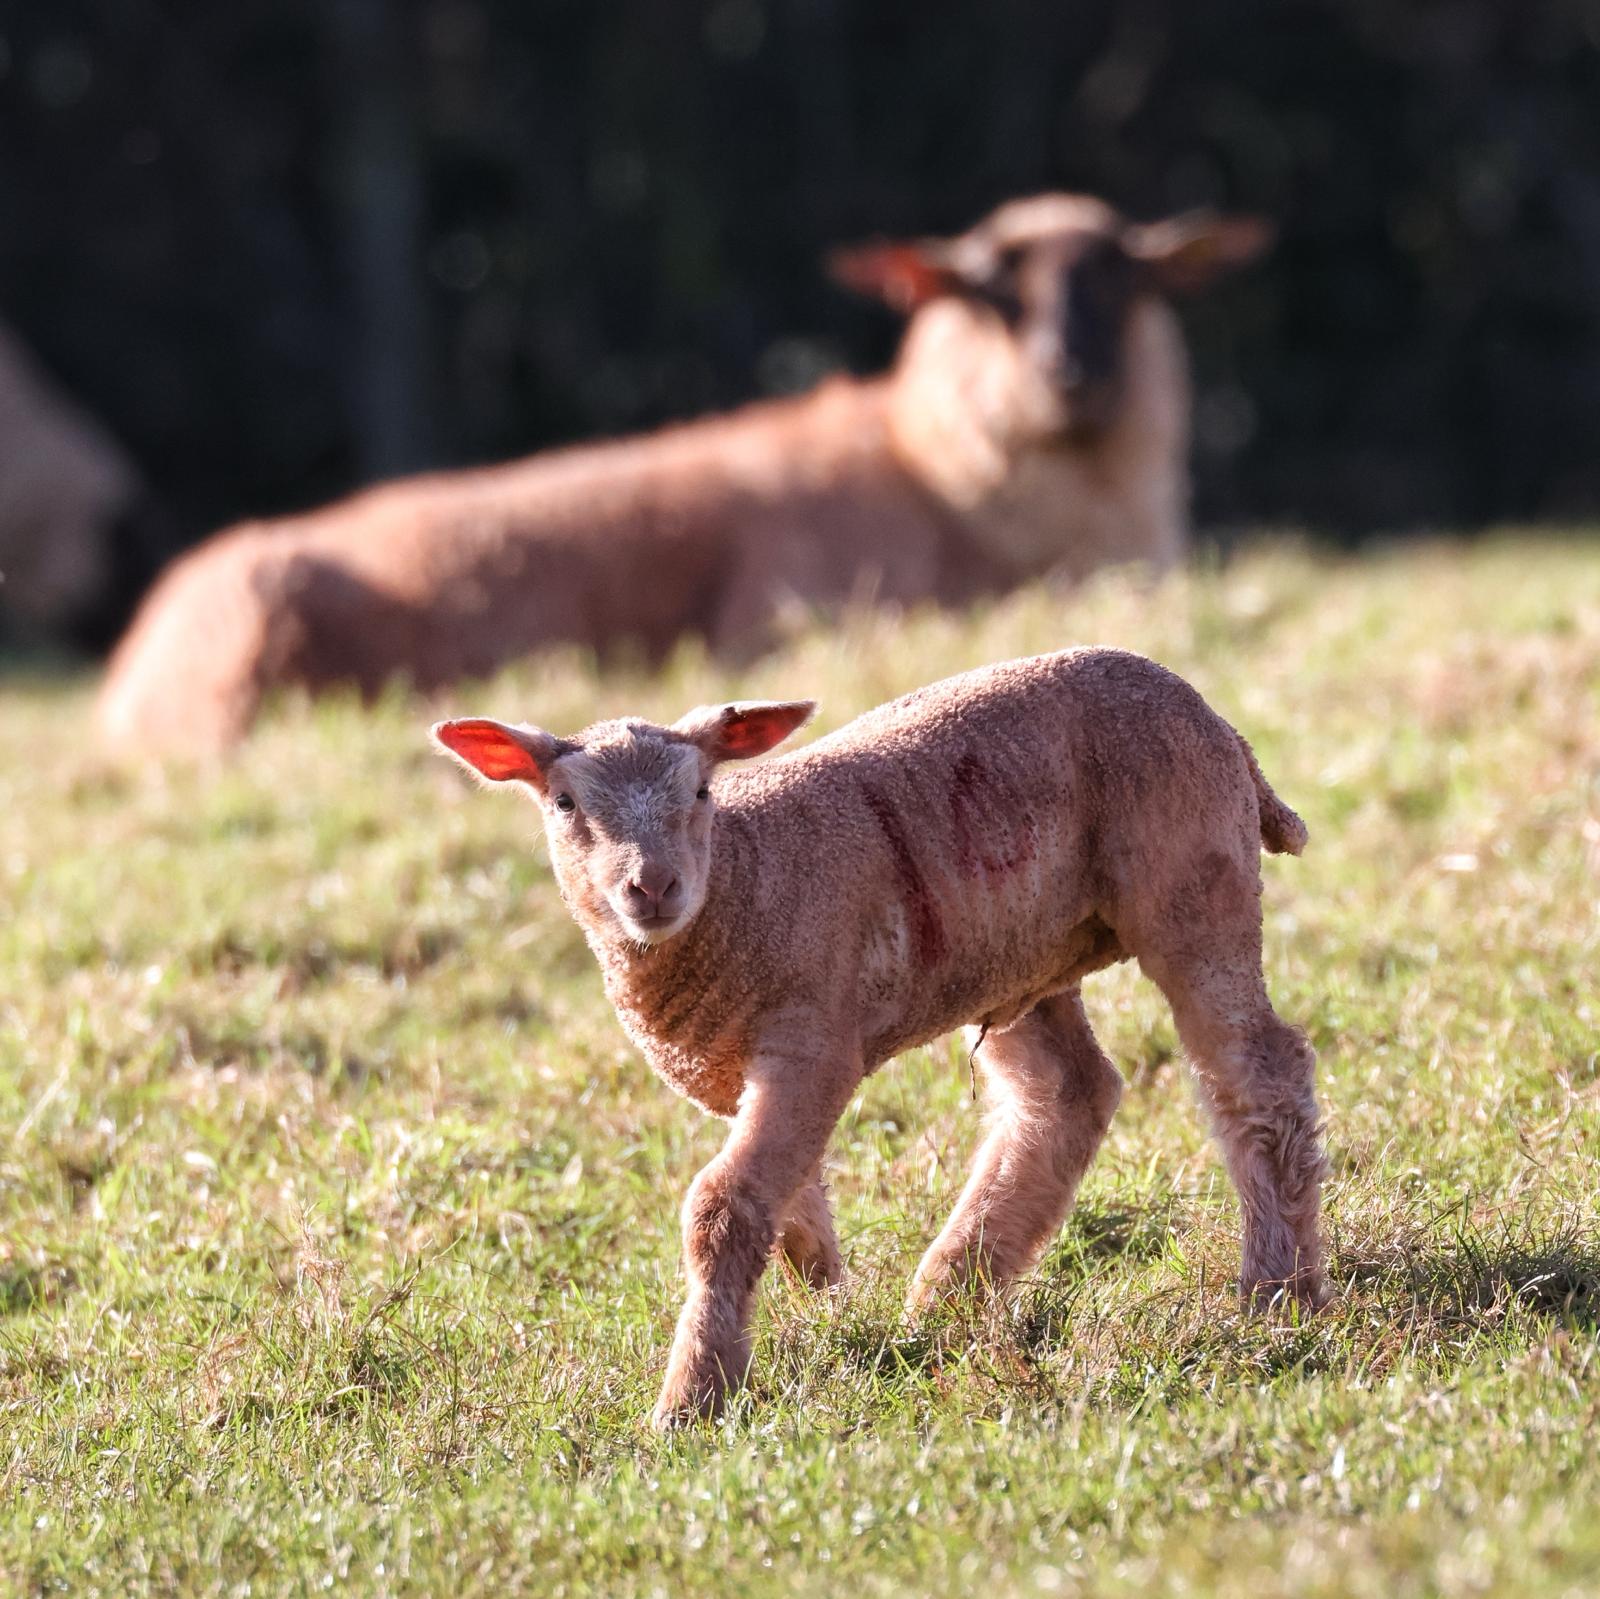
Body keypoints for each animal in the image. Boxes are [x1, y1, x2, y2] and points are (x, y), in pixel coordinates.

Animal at [97, 194, 1270, 755]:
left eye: (1130, 281)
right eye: (987, 295)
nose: (1072, 371)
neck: (930, 476)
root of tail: (124, 679)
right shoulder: (783, 616)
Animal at [433, 646, 1326, 1428]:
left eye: (701, 791)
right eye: (564, 804)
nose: (652, 887)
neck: (744, 881)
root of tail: (1221, 724)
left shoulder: (812, 1045)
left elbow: (723, 1206)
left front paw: (692, 1400)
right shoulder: (751, 1067)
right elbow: (794, 1211)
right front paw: (827, 1314)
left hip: (1191, 879)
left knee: (1257, 1069)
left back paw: (1276, 1291)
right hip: (1017, 957)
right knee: (1070, 1091)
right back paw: (948, 1294)